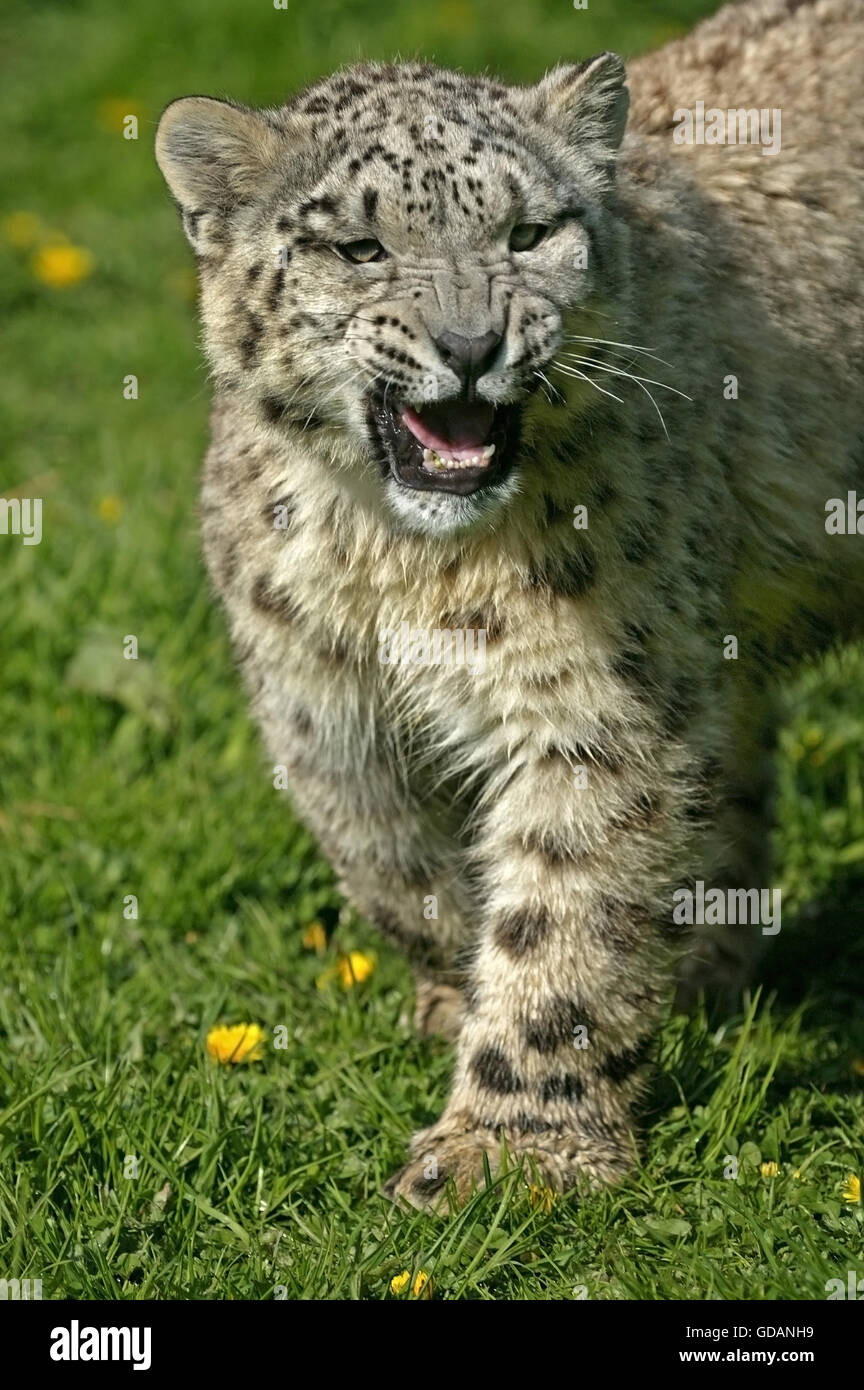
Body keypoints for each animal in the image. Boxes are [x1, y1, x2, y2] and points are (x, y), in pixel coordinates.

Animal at [156, 0, 864, 1210]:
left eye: (530, 233)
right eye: (361, 248)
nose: (471, 345)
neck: (397, 561)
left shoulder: (597, 697)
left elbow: (564, 912)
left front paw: (509, 1146)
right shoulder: (319, 699)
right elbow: (394, 863)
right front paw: (452, 996)